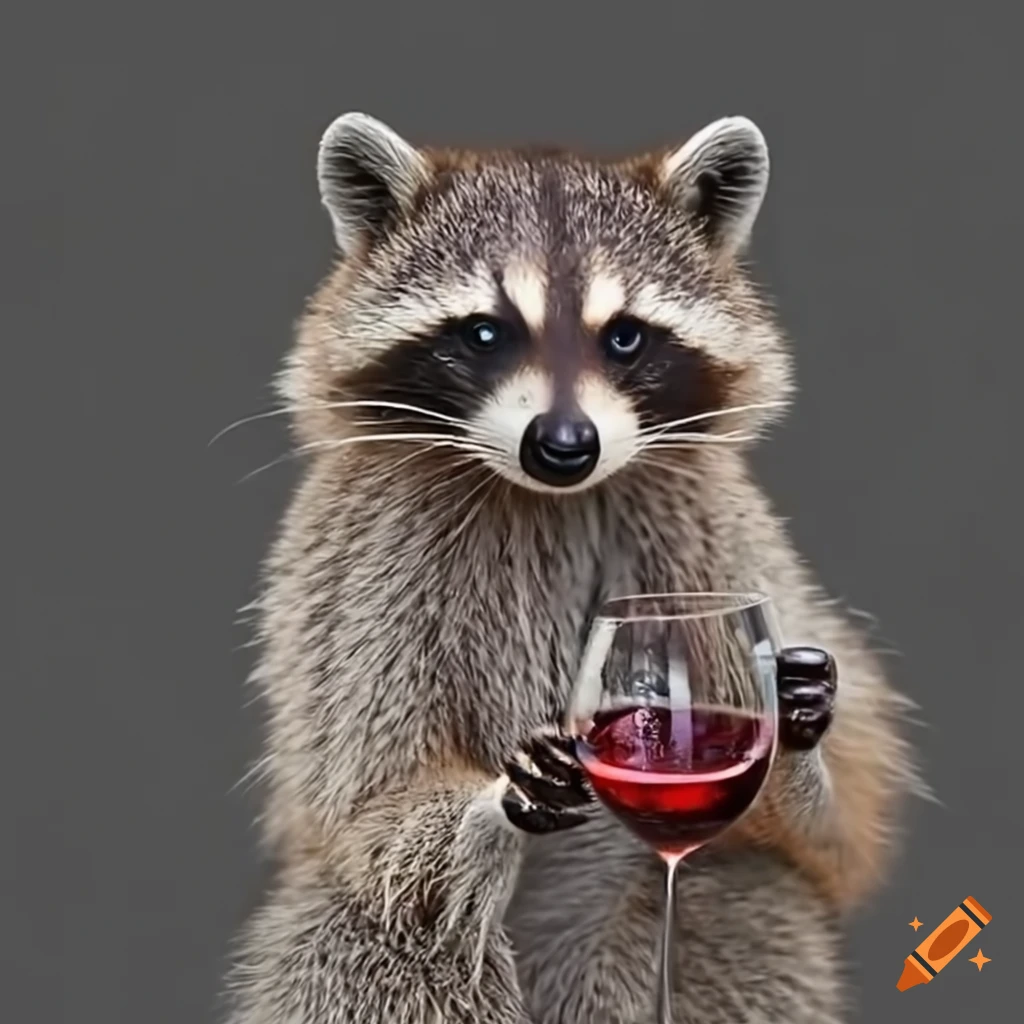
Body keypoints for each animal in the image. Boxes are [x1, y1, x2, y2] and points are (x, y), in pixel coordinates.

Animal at [223, 113, 917, 1024]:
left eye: (623, 336)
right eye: (485, 333)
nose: (564, 445)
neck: (548, 494)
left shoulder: (708, 521)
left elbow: (832, 835)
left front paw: (796, 722)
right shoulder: (361, 548)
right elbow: (365, 798)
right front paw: (497, 805)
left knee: (744, 898)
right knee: (379, 938)